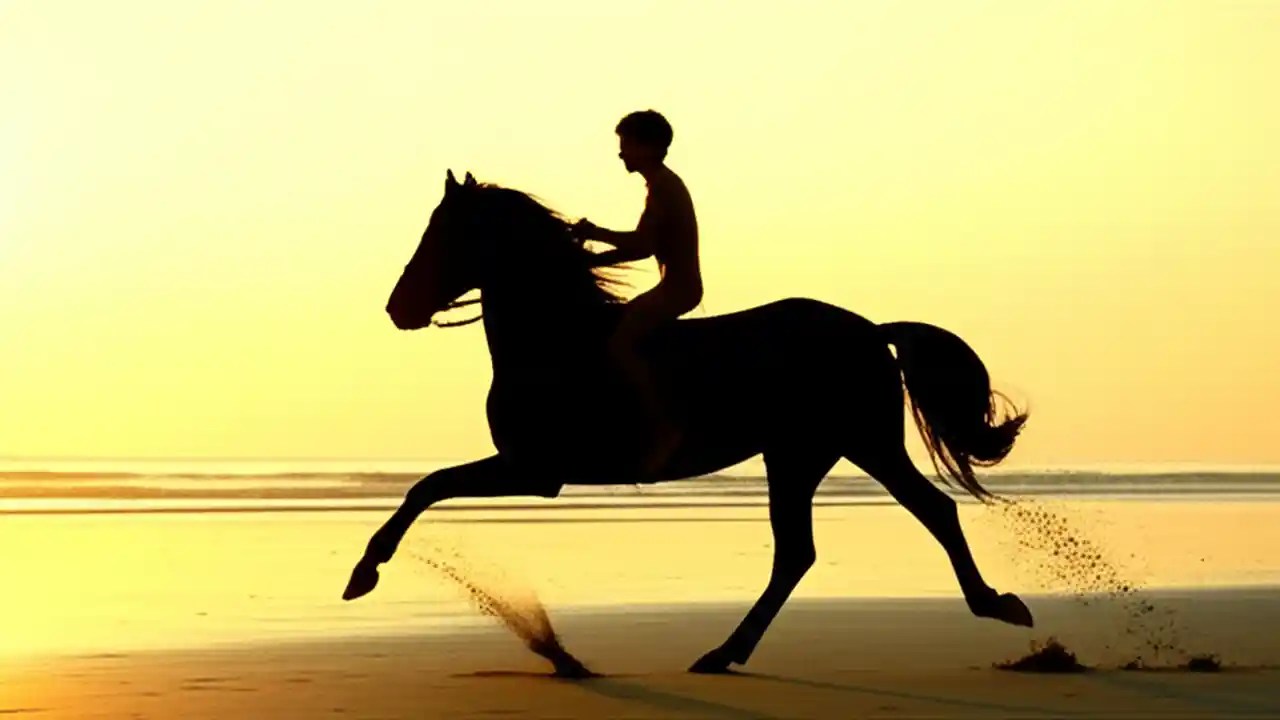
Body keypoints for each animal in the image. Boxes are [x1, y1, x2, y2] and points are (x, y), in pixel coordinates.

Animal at [343, 169, 1034, 674]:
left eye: (446, 235)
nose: (398, 307)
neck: (555, 339)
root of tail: (869, 331)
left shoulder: (534, 470)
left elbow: (426, 486)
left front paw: (362, 575)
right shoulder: (527, 468)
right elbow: (428, 486)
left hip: (859, 444)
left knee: (928, 513)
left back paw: (998, 606)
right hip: (800, 455)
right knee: (800, 552)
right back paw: (725, 653)